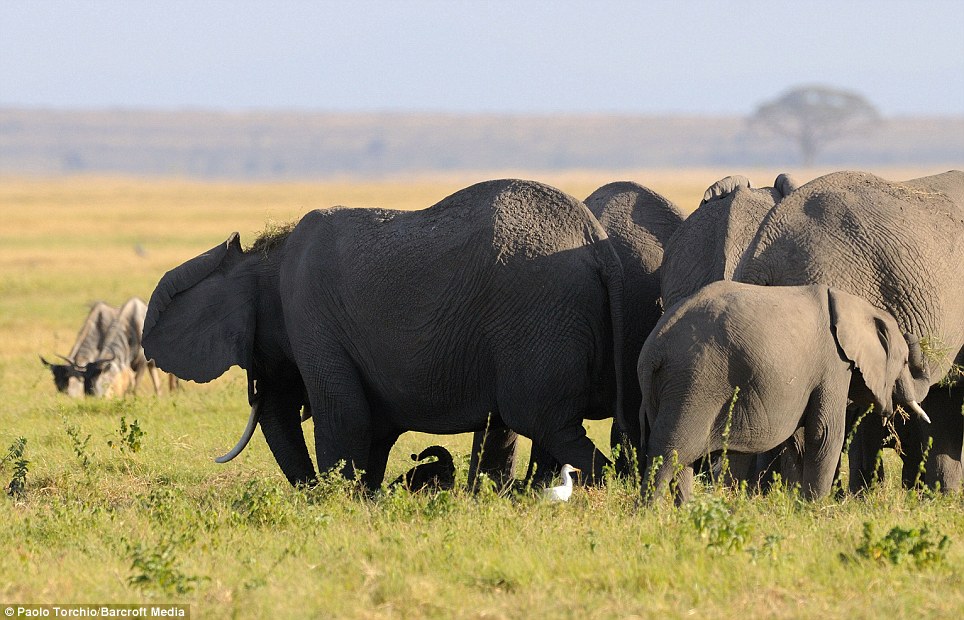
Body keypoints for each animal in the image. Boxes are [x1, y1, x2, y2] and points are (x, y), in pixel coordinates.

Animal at [143, 179, 624, 489]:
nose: (310, 492)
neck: (267, 258)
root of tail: (596, 243)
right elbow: (374, 424)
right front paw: (363, 498)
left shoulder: (313, 317)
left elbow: (344, 415)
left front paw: (342, 502)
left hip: (539, 316)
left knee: (547, 422)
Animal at [637, 281, 930, 503]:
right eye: (905, 362)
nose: (913, 336)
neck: (856, 305)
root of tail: (654, 346)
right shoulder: (834, 364)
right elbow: (824, 433)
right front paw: (816, 510)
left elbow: (801, 438)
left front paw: (801, 504)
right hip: (694, 382)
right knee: (670, 451)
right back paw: (650, 515)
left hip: (668, 387)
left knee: (680, 459)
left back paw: (685, 511)